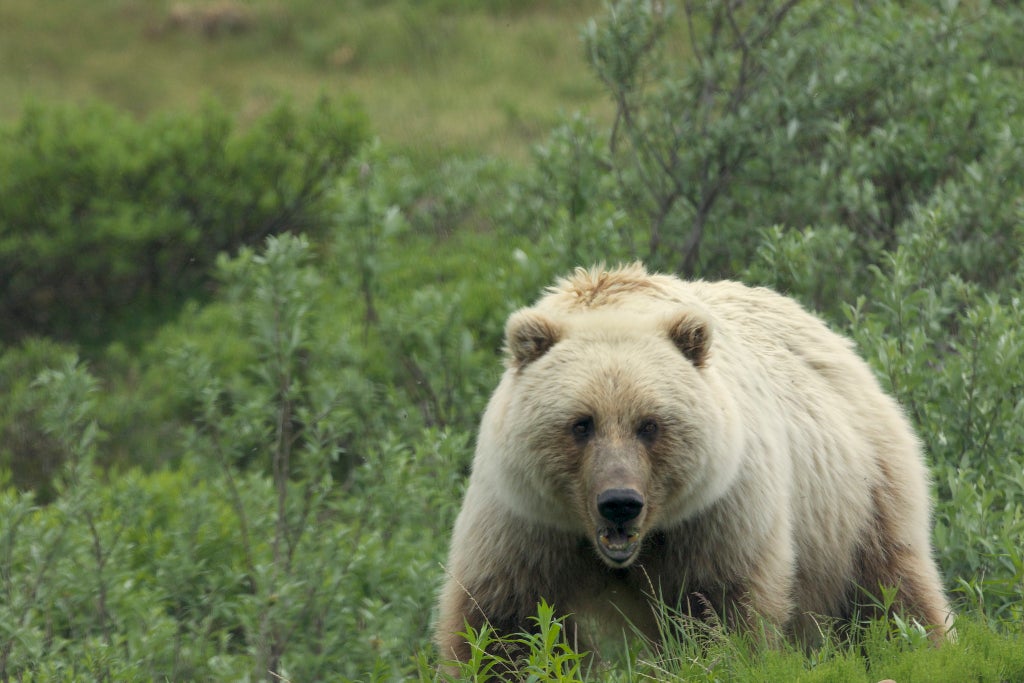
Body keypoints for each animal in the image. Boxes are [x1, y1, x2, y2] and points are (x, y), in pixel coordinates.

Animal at [435, 263, 952, 668]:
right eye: (581, 423)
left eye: (649, 424)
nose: (619, 503)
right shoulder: (526, 519)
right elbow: (503, 626)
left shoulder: (717, 512)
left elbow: (720, 611)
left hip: (859, 493)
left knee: (888, 590)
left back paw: (922, 646)